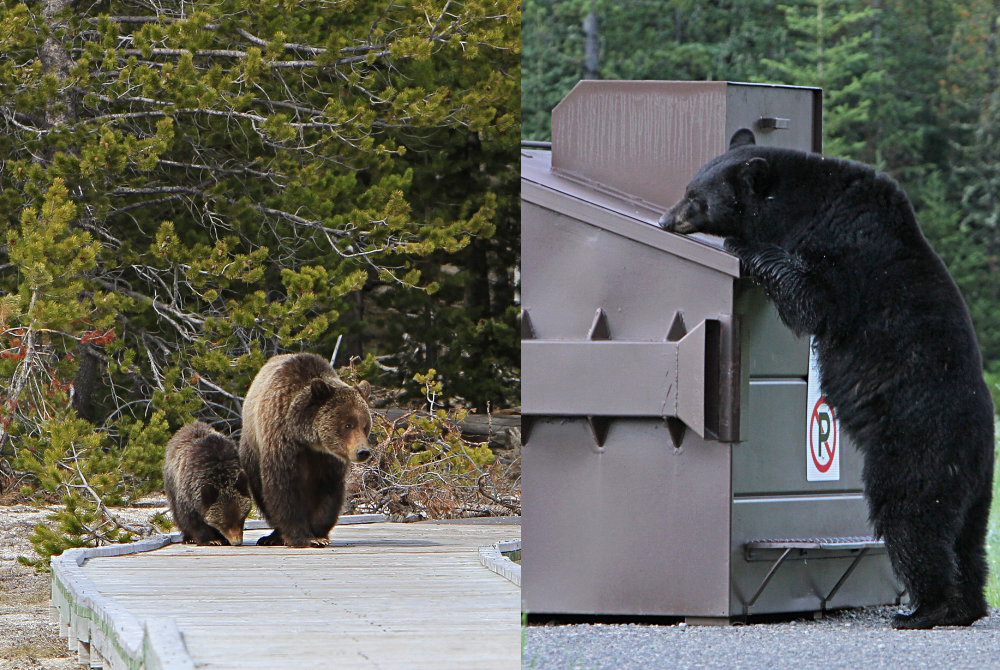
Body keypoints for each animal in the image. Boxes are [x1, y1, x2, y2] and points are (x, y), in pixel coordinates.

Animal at [240, 353, 372, 548]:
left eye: (365, 425)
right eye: (348, 424)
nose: (362, 451)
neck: (307, 439)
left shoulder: (327, 458)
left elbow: (329, 490)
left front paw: (319, 532)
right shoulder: (282, 440)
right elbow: (283, 487)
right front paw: (305, 537)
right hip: (252, 449)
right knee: (259, 488)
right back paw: (272, 536)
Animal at [659, 131, 995, 629]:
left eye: (696, 197)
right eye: (687, 186)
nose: (665, 219)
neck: (811, 203)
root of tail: (976, 447)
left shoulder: (849, 249)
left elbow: (812, 299)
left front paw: (743, 245)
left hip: (916, 448)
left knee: (911, 518)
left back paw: (924, 609)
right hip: (977, 488)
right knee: (967, 540)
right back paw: (966, 606)